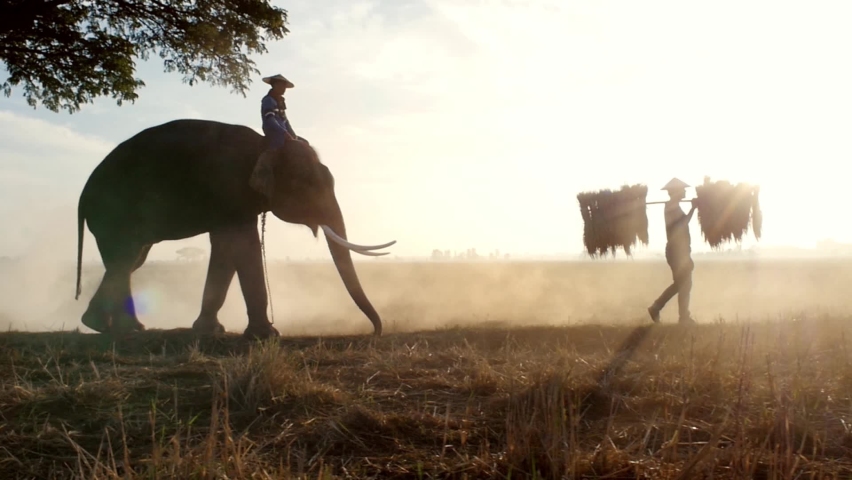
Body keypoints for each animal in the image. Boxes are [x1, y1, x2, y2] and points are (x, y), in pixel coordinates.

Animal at [74, 119, 396, 339]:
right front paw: (266, 336)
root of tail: (83, 193)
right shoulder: (230, 189)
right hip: (115, 211)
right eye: (309, 186)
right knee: (126, 258)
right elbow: (243, 245)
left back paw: (114, 327)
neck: (265, 144)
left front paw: (210, 330)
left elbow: (226, 249)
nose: (375, 332)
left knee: (131, 261)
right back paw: (115, 327)